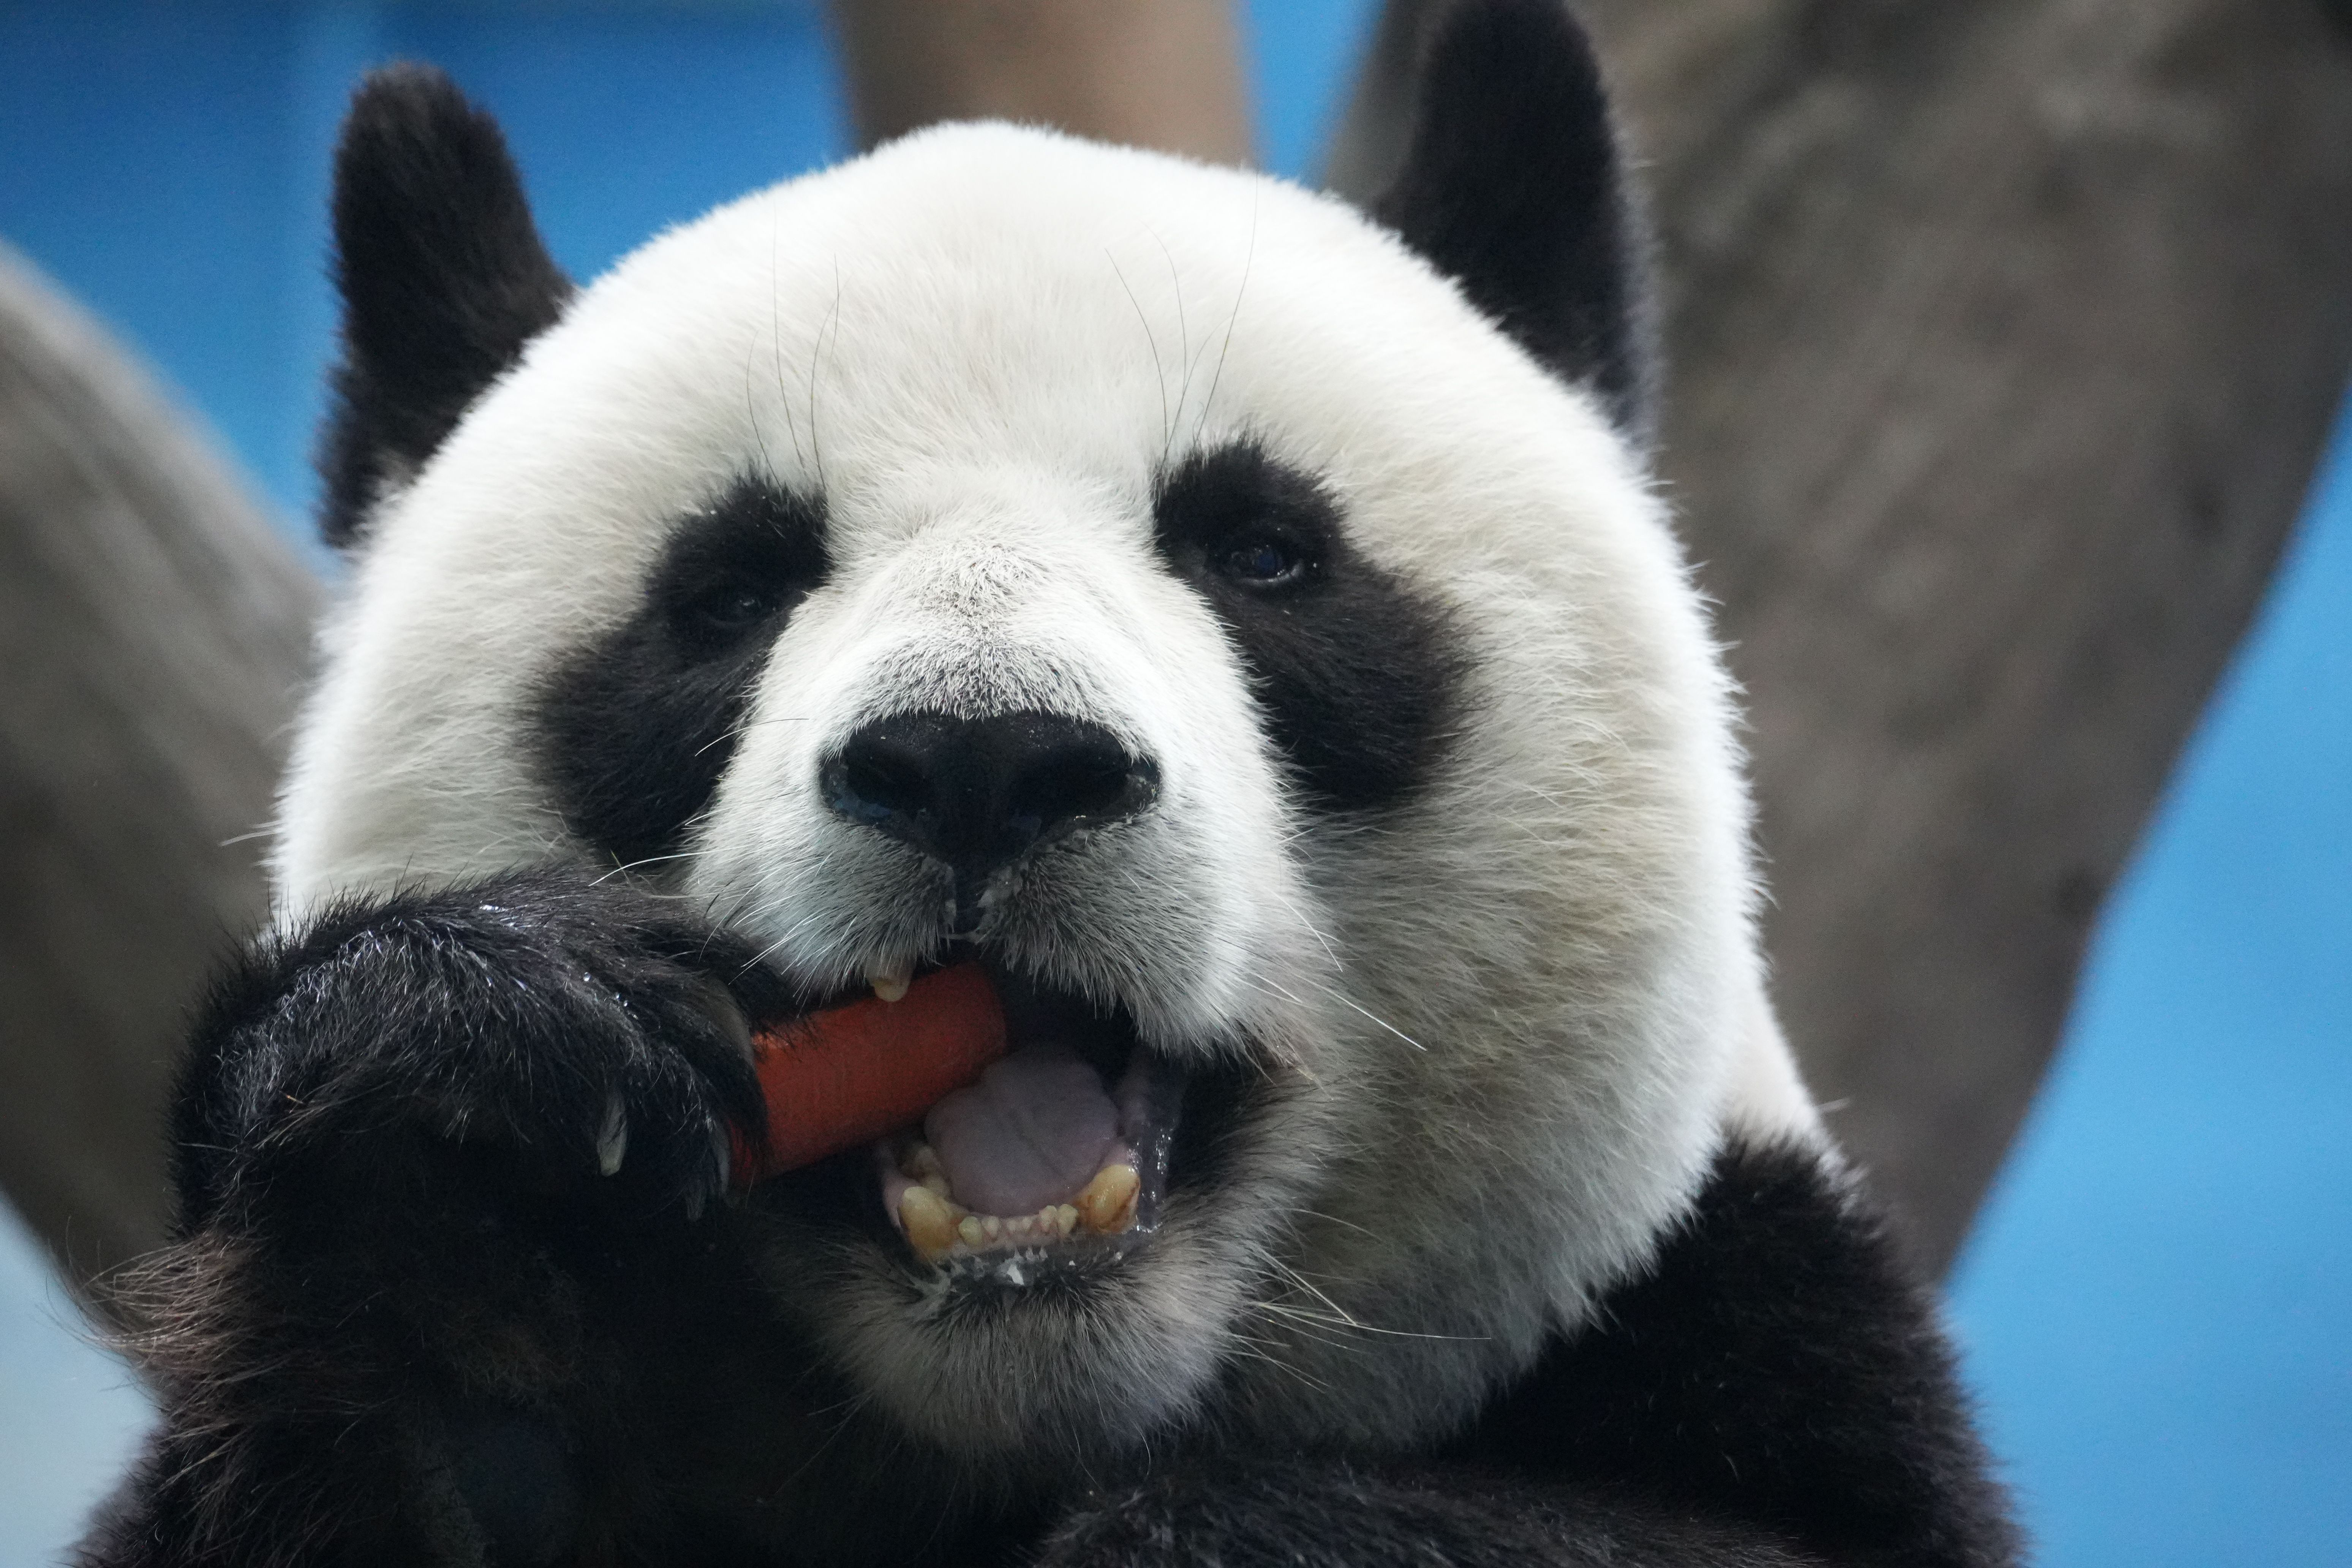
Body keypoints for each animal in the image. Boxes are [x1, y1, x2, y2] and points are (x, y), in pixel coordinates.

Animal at [80, 3, 2020, 1565]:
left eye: (1261, 549)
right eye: (729, 590)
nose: (982, 761)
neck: (1030, 1403)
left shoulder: (1728, 1317)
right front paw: (468, 1123)